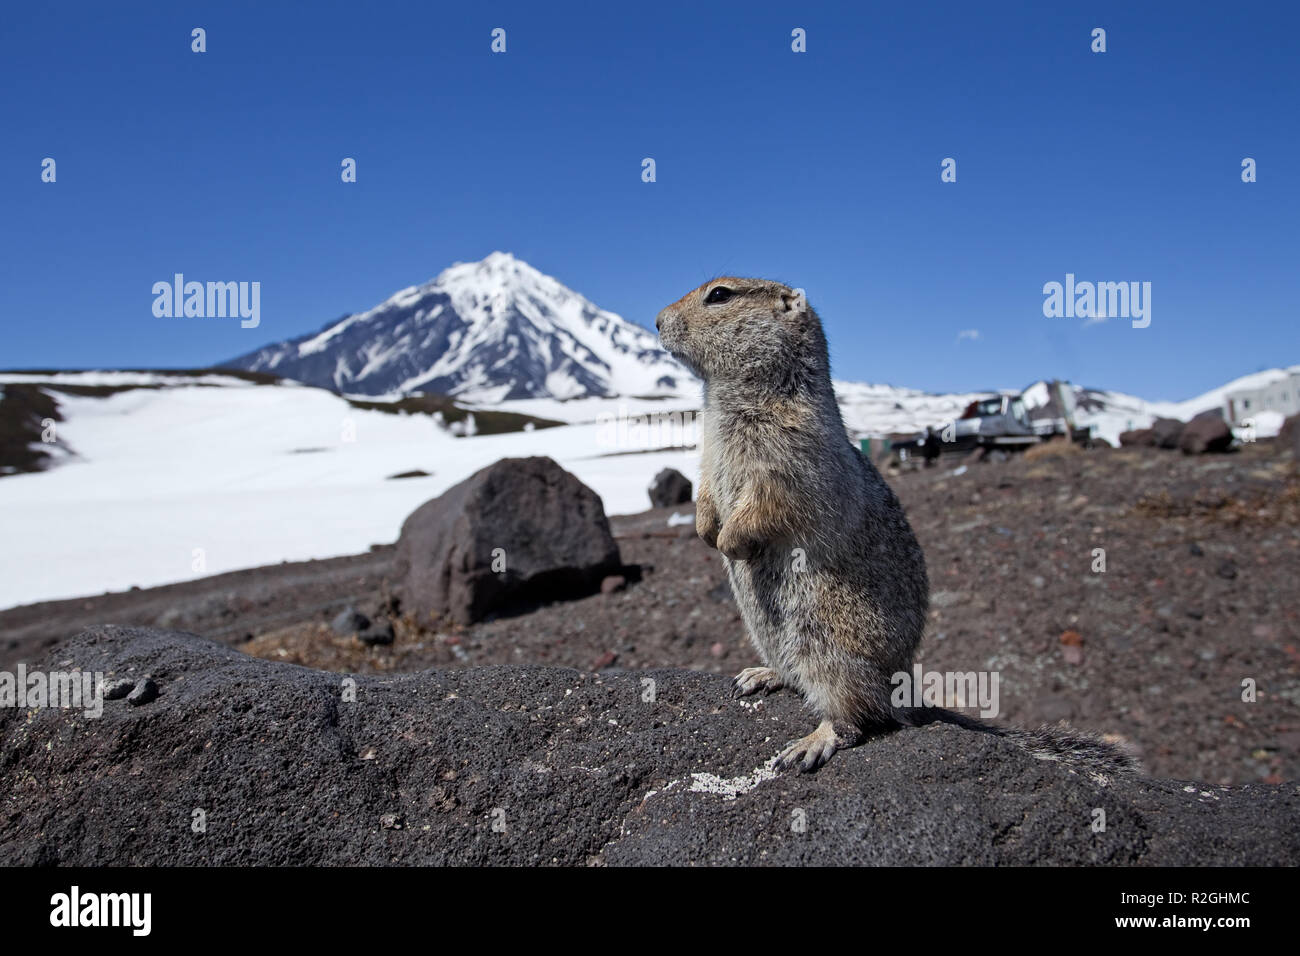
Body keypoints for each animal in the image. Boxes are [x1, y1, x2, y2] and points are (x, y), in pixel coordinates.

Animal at [656, 277, 1137, 775]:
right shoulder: (709, 455)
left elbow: (771, 502)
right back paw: (760, 674)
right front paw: (706, 529)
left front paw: (729, 540)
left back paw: (813, 741)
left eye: (719, 295)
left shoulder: (791, 456)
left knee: (859, 717)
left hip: (832, 649)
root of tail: (902, 686)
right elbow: (706, 489)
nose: (655, 321)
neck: (728, 398)